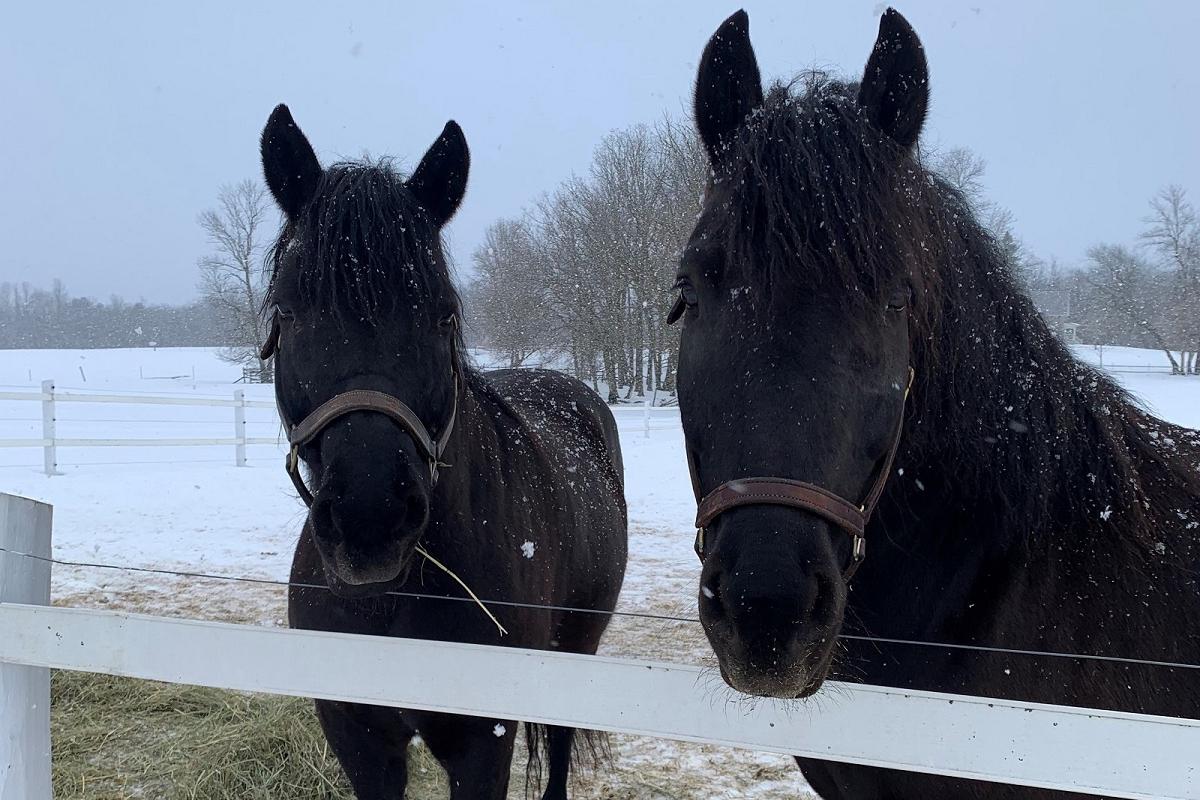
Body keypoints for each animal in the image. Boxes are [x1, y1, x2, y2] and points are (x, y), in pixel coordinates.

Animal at [258, 105, 628, 800]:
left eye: (443, 315)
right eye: (287, 312)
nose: (370, 521)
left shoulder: (483, 743)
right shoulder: (358, 738)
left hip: (576, 648)